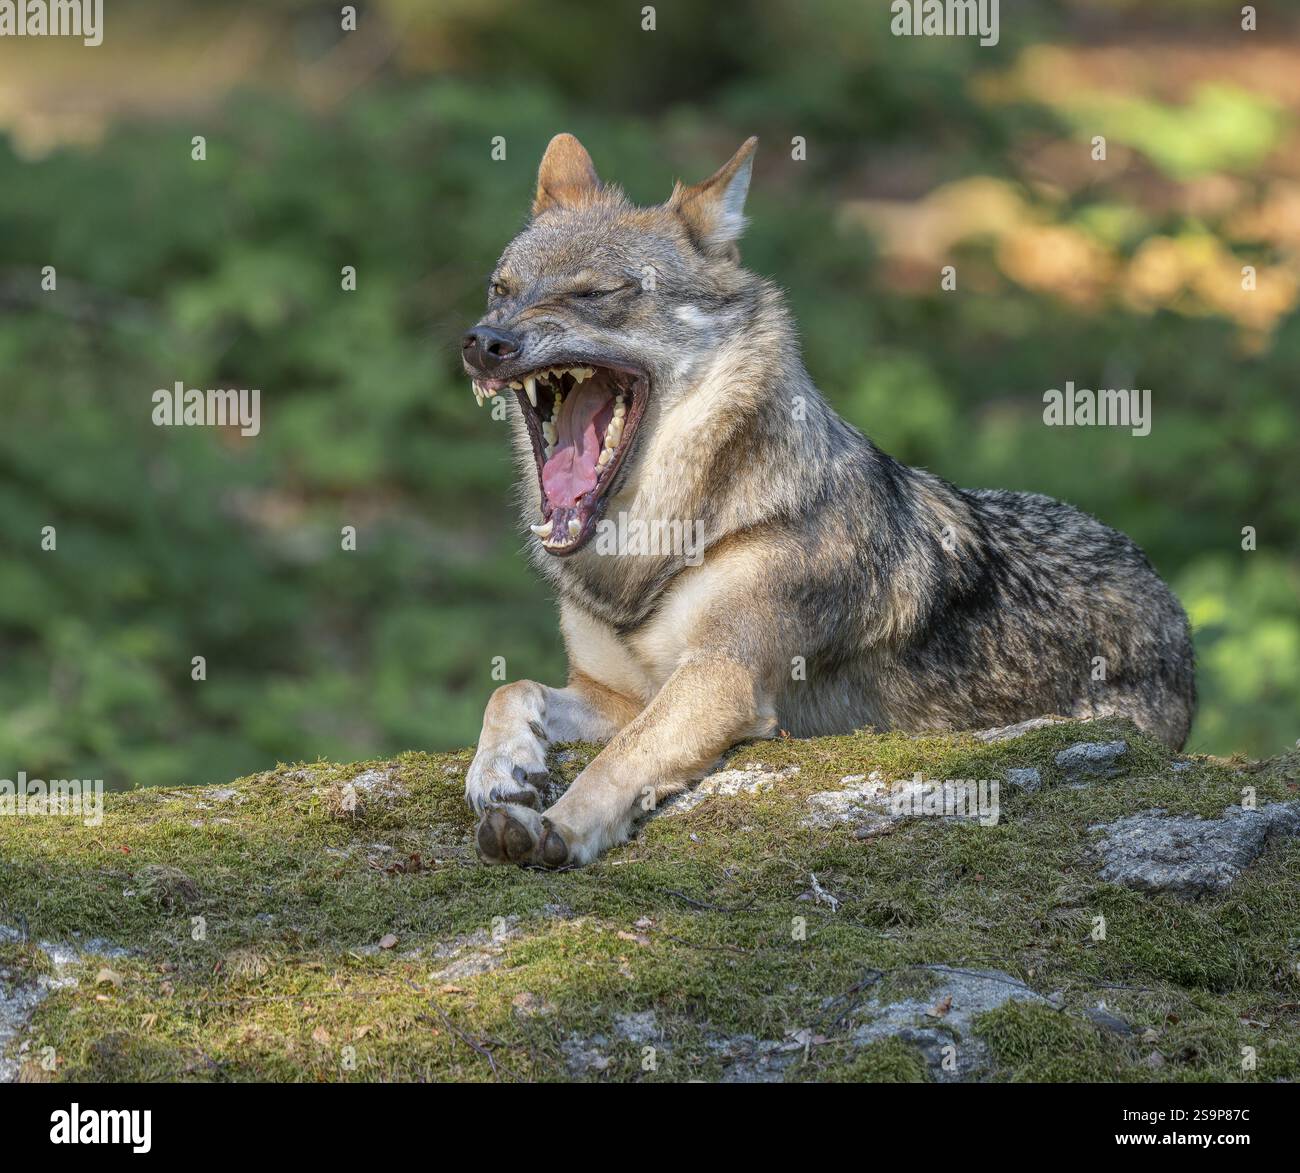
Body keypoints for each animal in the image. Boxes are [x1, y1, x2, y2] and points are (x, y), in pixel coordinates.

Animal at [459, 133, 1195, 868]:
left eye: (596, 292)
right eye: (500, 290)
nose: (483, 342)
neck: (644, 558)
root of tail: (1169, 601)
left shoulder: (720, 681)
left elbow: (619, 760)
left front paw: (554, 826)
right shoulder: (615, 694)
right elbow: (510, 689)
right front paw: (498, 770)